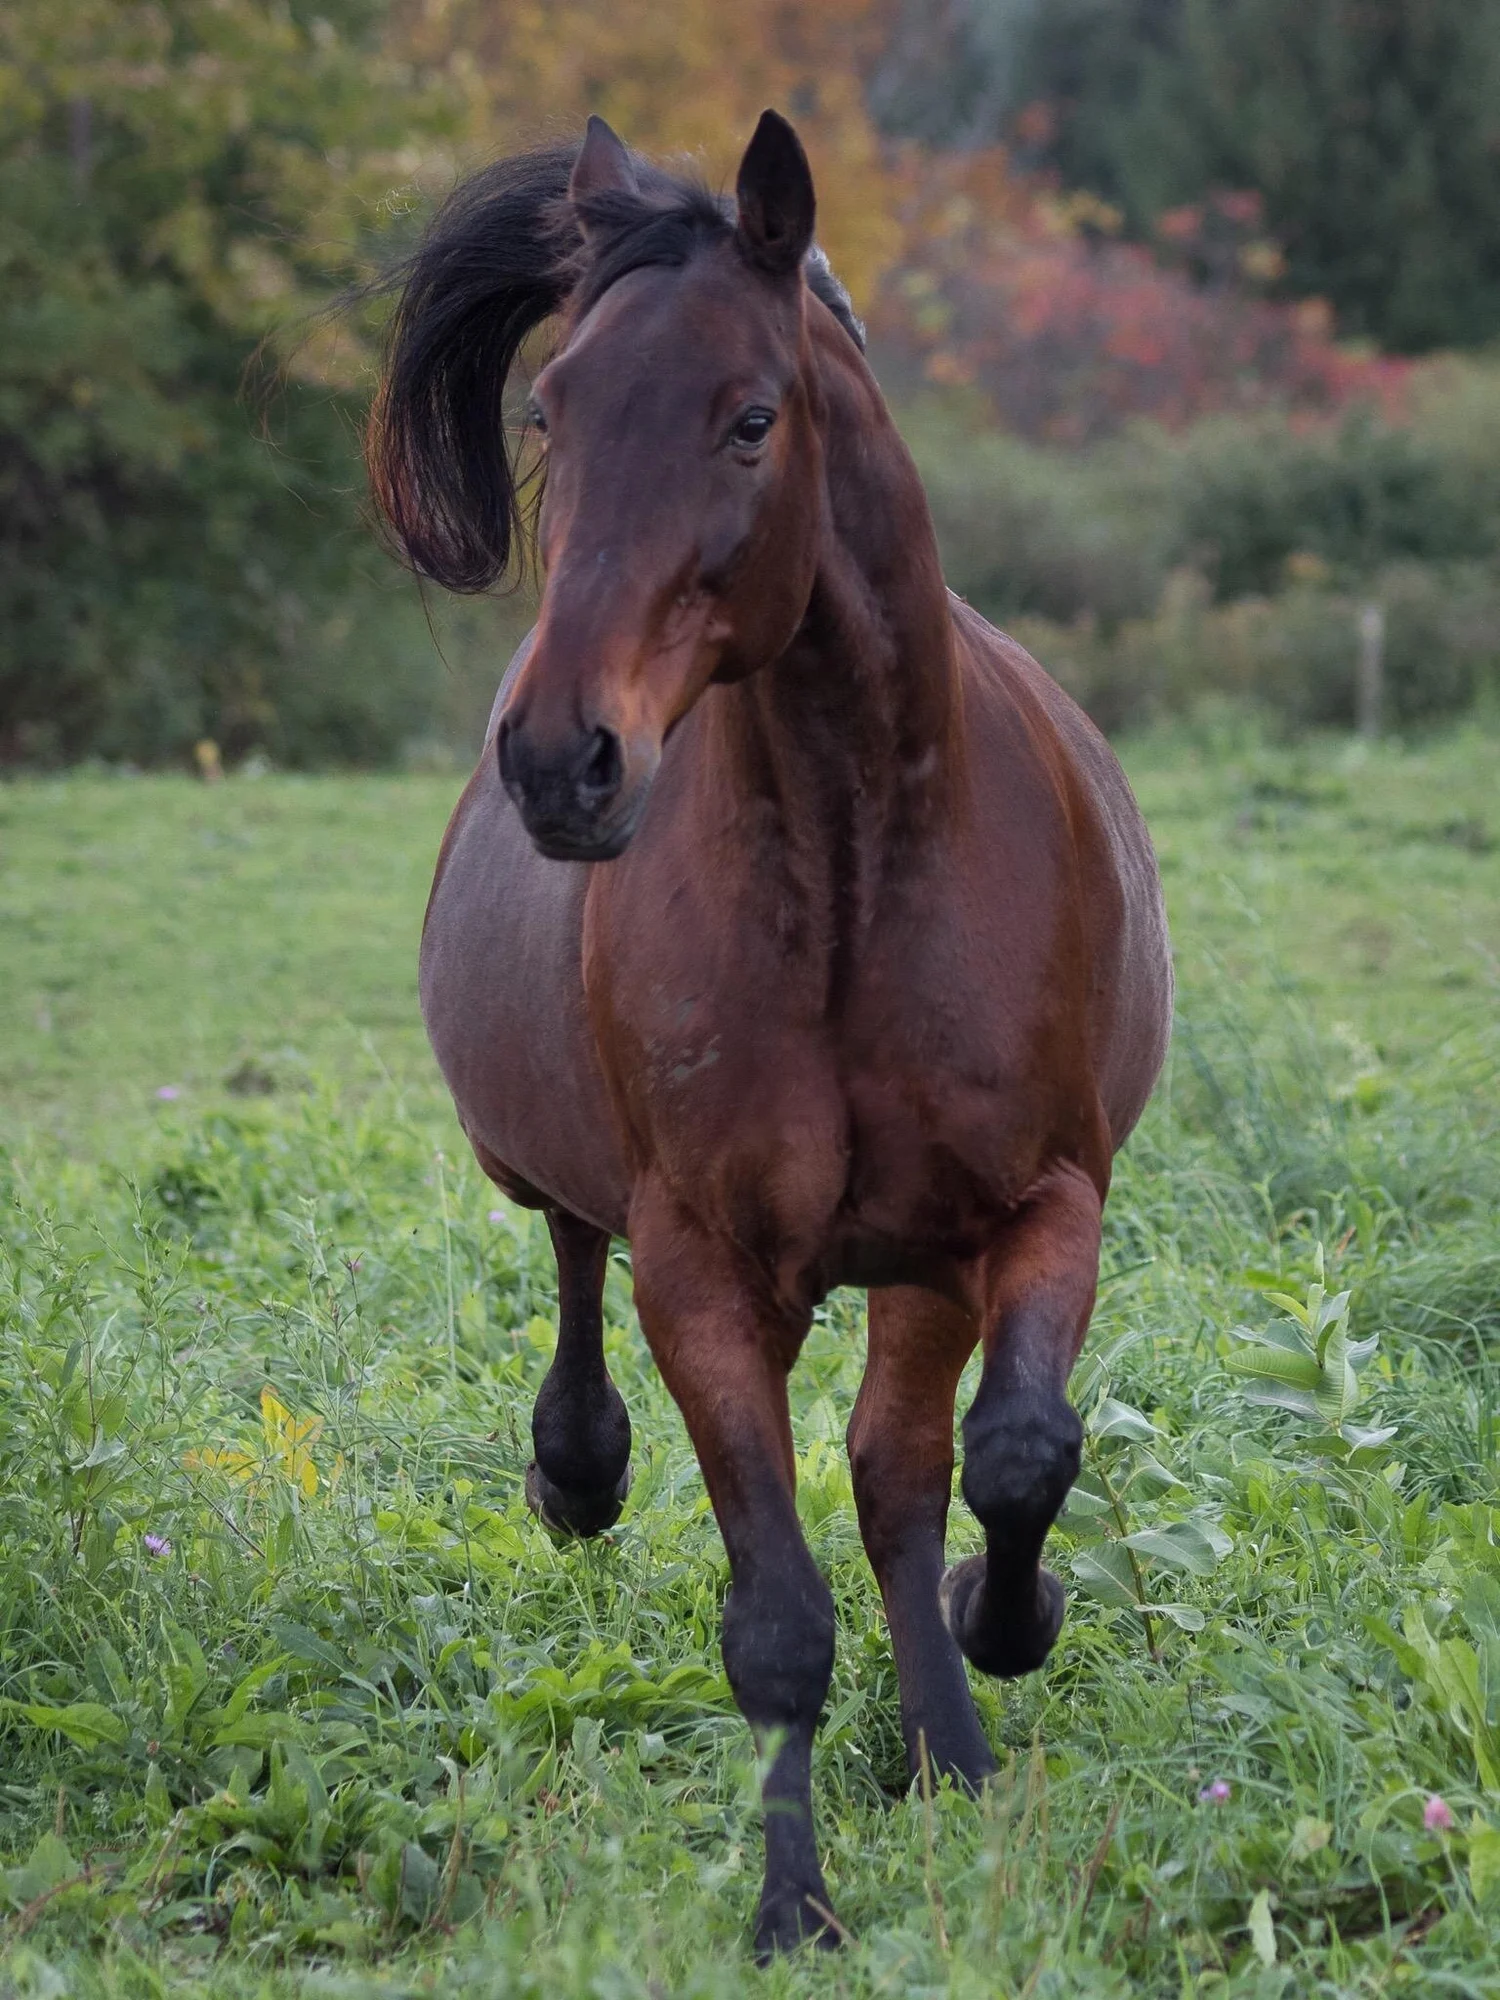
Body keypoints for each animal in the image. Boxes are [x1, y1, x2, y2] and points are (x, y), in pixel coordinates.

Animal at [367, 110, 1173, 1958]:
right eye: (549, 409)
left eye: (751, 418)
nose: (560, 759)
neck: (866, 864)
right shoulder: (709, 1272)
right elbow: (775, 1615)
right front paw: (793, 1904)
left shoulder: (1035, 1210)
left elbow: (1013, 1459)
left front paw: (1007, 1629)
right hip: (588, 1189)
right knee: (575, 1266)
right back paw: (577, 1474)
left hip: (920, 1268)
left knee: (898, 1473)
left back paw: (951, 1744)